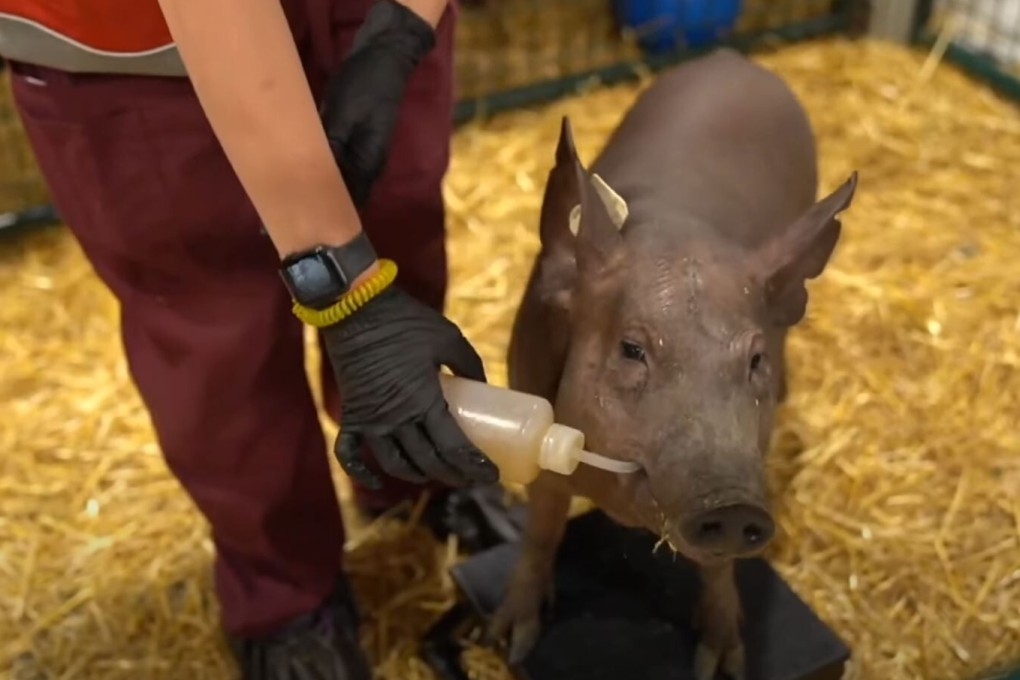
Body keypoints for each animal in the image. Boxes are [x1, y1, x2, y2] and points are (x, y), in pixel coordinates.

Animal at [488, 47, 857, 680]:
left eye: (755, 358)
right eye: (632, 349)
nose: (732, 503)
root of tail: (731, 59)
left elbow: (719, 565)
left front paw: (724, 662)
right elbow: (542, 526)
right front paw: (512, 641)